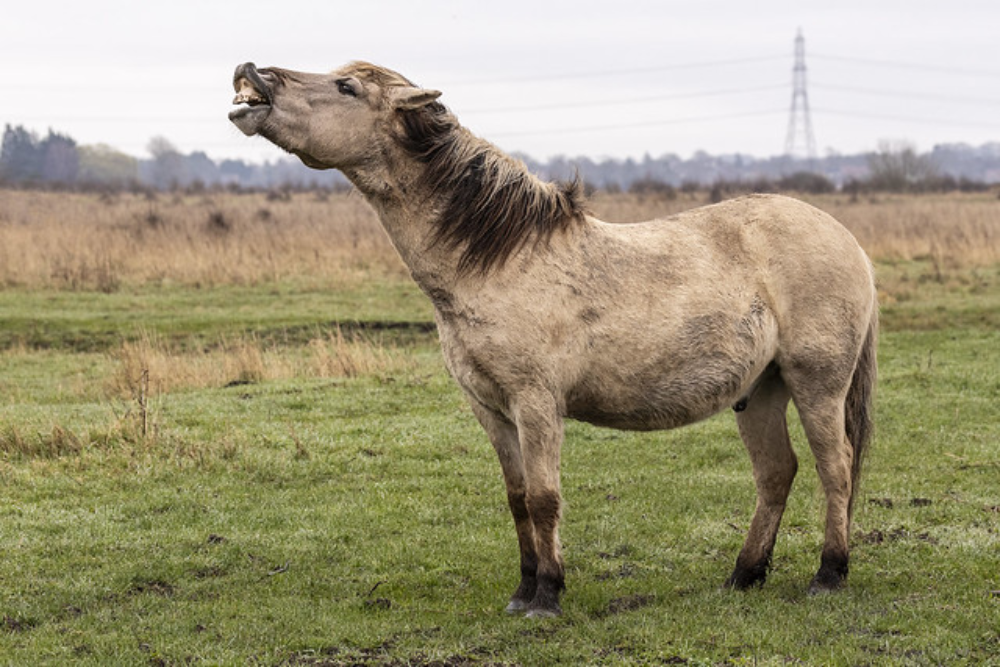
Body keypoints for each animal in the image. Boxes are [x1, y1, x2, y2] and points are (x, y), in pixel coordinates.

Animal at [229, 60, 878, 617]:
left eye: (347, 88)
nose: (251, 75)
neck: (498, 260)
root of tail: (849, 240)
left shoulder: (536, 403)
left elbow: (545, 498)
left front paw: (547, 597)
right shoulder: (491, 409)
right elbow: (518, 499)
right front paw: (522, 591)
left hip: (816, 387)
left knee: (836, 468)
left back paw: (828, 575)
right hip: (761, 391)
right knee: (777, 474)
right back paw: (743, 576)